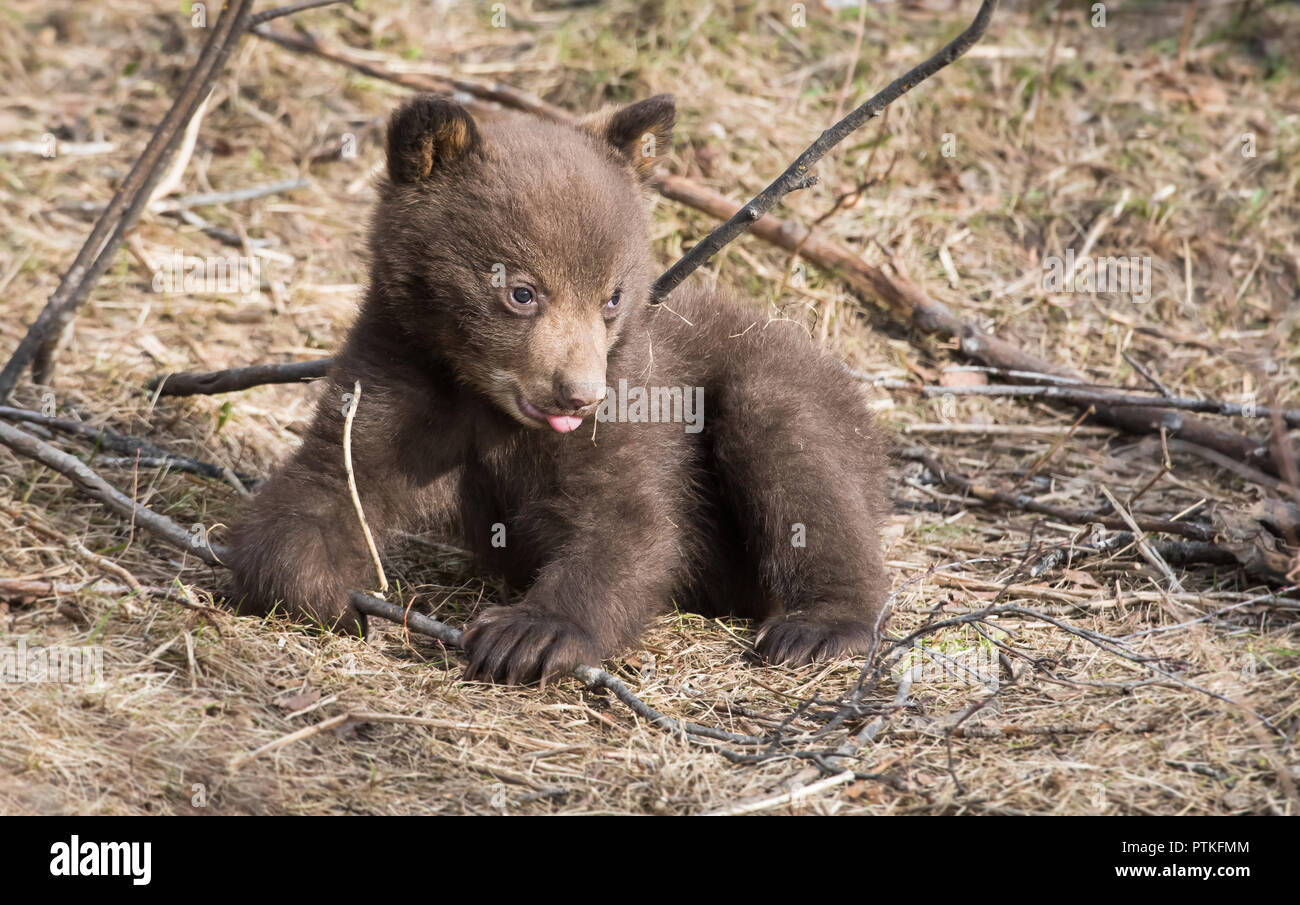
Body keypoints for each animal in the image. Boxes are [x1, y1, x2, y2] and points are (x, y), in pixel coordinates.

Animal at [225, 93, 891, 684]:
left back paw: (817, 626)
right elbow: (332, 480)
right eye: (522, 291)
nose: (579, 395)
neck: (484, 399)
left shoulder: (633, 402)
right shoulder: (397, 375)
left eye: (612, 297)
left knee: (796, 453)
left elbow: (629, 522)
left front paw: (531, 632)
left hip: (797, 397)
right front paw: (319, 588)